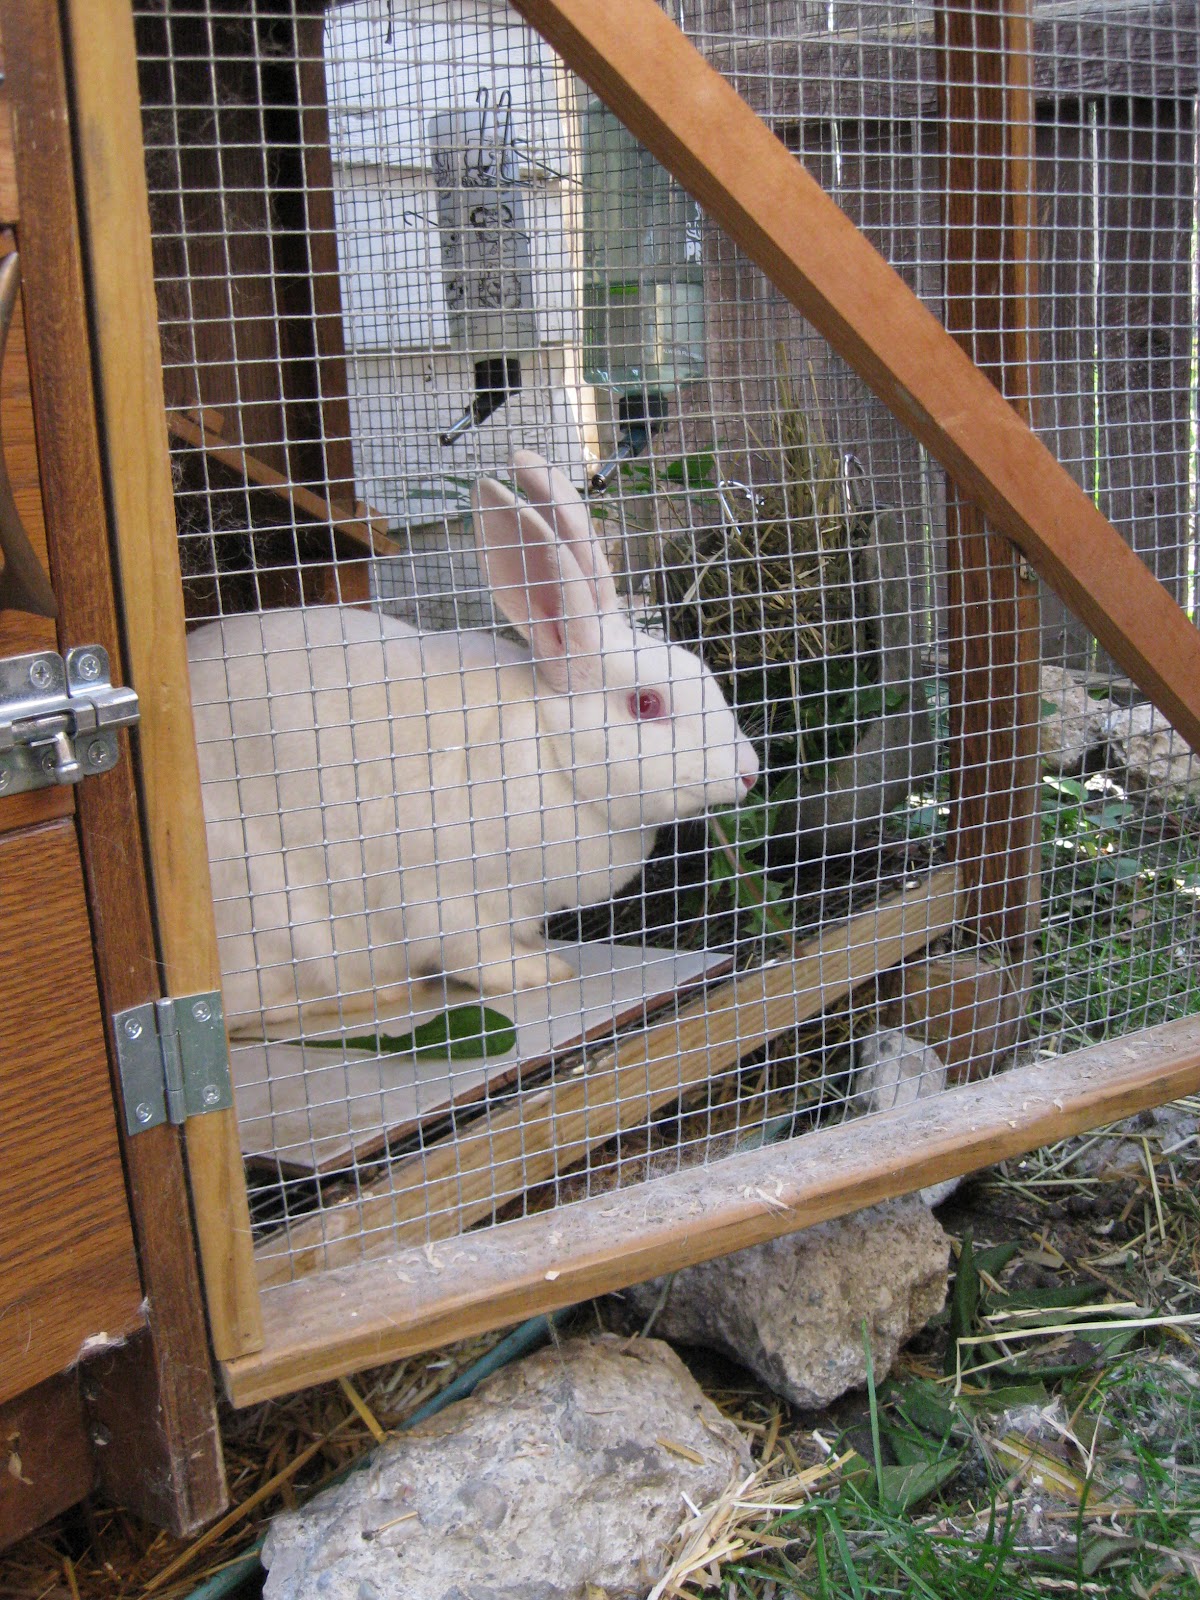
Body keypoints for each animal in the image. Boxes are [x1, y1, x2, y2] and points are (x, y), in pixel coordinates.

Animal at [188, 450, 759, 1038]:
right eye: (646, 705)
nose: (749, 772)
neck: (551, 749)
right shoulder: (444, 897)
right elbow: (476, 954)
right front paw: (542, 970)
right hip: (273, 919)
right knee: (253, 1009)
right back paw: (379, 991)